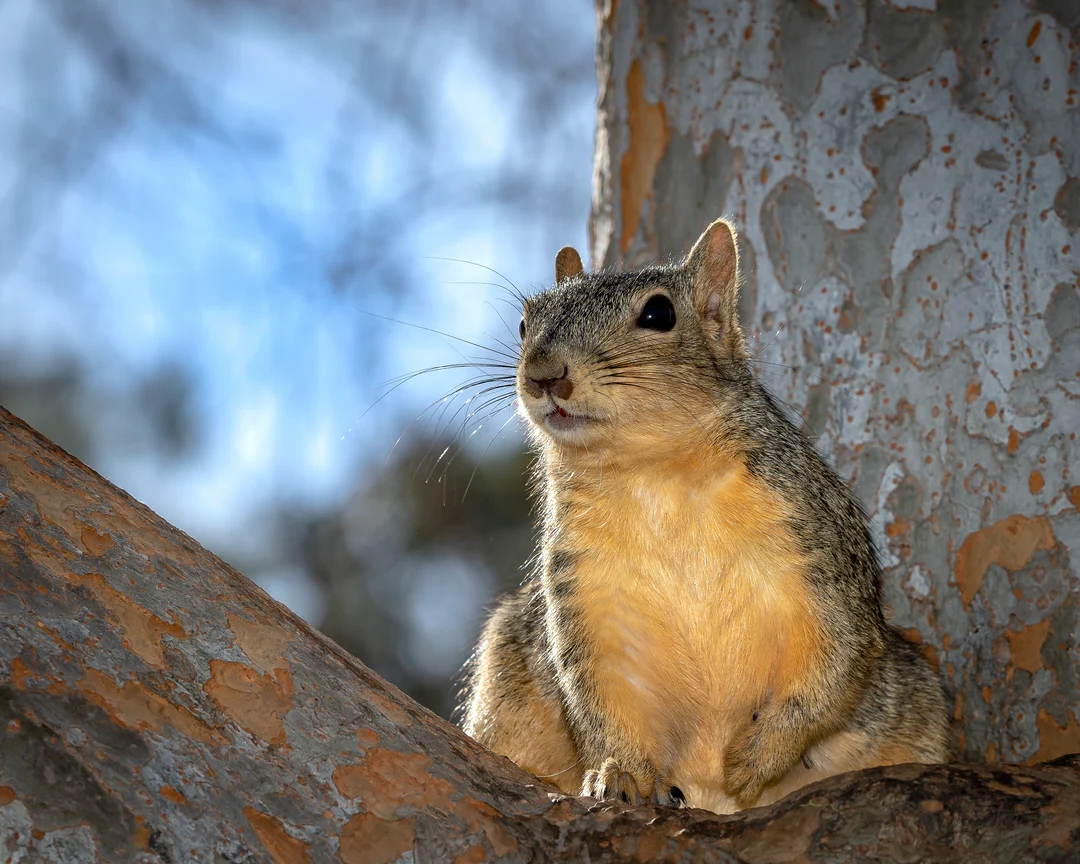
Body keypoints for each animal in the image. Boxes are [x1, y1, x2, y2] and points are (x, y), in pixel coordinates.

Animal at [457, 217, 950, 814]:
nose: (543, 374)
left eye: (658, 314)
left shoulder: (820, 549)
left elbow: (837, 661)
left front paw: (758, 758)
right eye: (526, 322)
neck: (653, 474)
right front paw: (619, 772)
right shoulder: (589, 595)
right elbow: (598, 698)